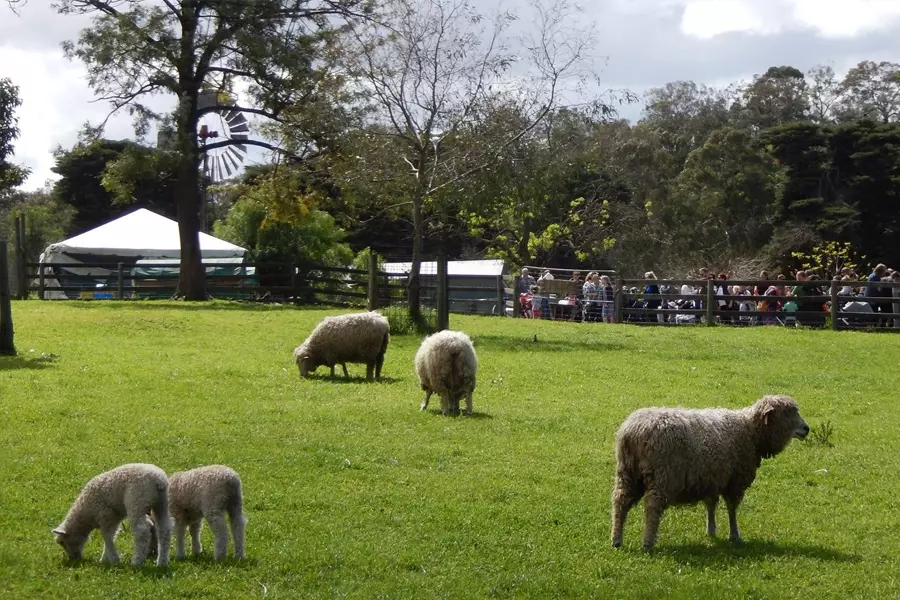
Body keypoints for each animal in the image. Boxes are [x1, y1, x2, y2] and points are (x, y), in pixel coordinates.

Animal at [612, 396, 808, 552]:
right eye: (788, 413)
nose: (807, 428)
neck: (750, 431)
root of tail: (634, 431)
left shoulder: (712, 478)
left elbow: (710, 504)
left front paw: (711, 531)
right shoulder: (734, 481)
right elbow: (732, 509)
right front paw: (734, 535)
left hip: (628, 473)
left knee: (620, 501)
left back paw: (616, 539)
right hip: (663, 475)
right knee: (652, 507)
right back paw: (648, 542)